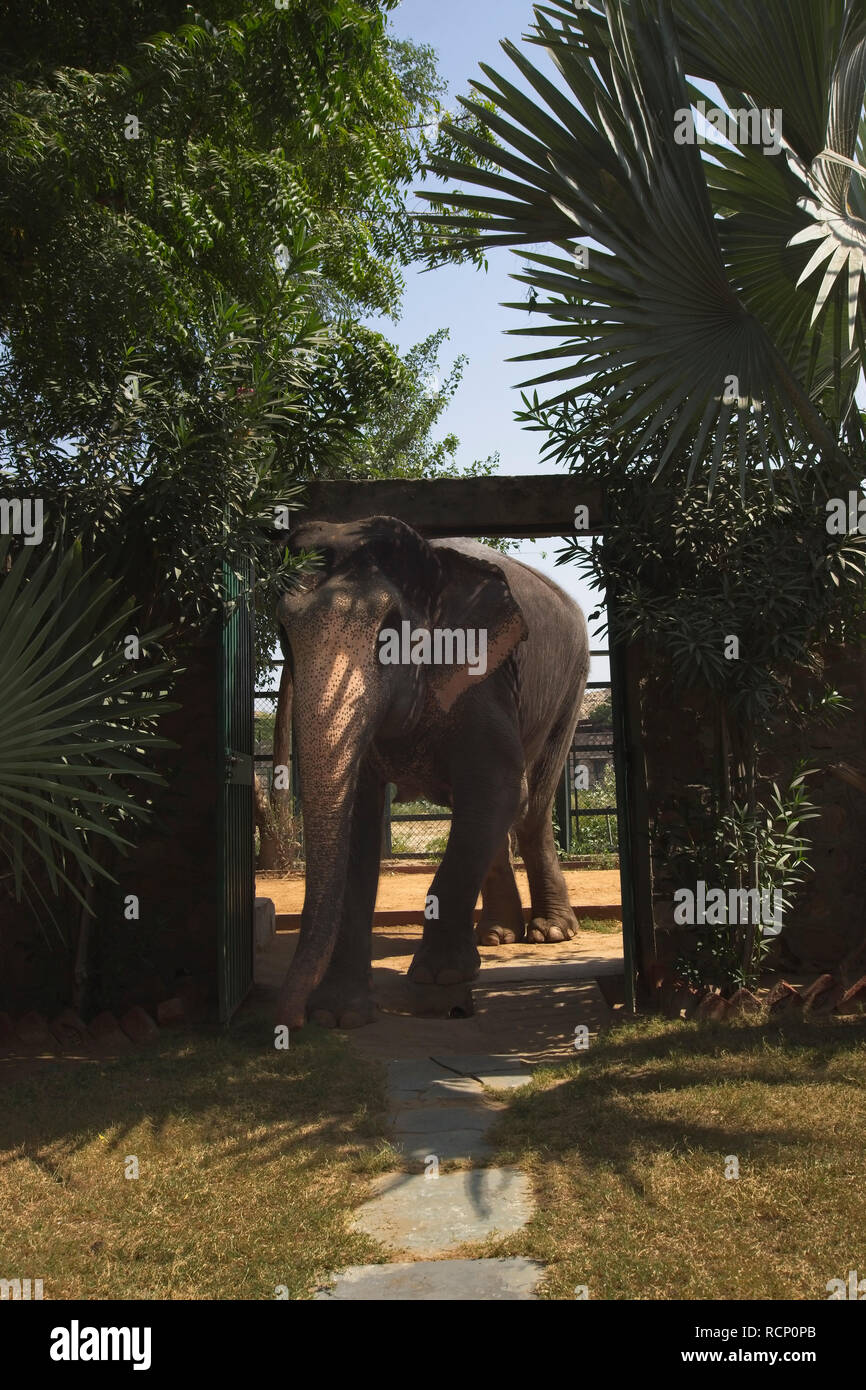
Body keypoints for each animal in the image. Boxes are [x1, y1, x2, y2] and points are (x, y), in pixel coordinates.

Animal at [274, 514, 590, 1030]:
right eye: (283, 631)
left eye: (390, 632)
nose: (291, 1021)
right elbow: (357, 817)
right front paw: (339, 1014)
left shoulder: (483, 678)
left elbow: (501, 786)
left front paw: (440, 977)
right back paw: (497, 936)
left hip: (571, 686)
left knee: (530, 807)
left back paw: (550, 934)